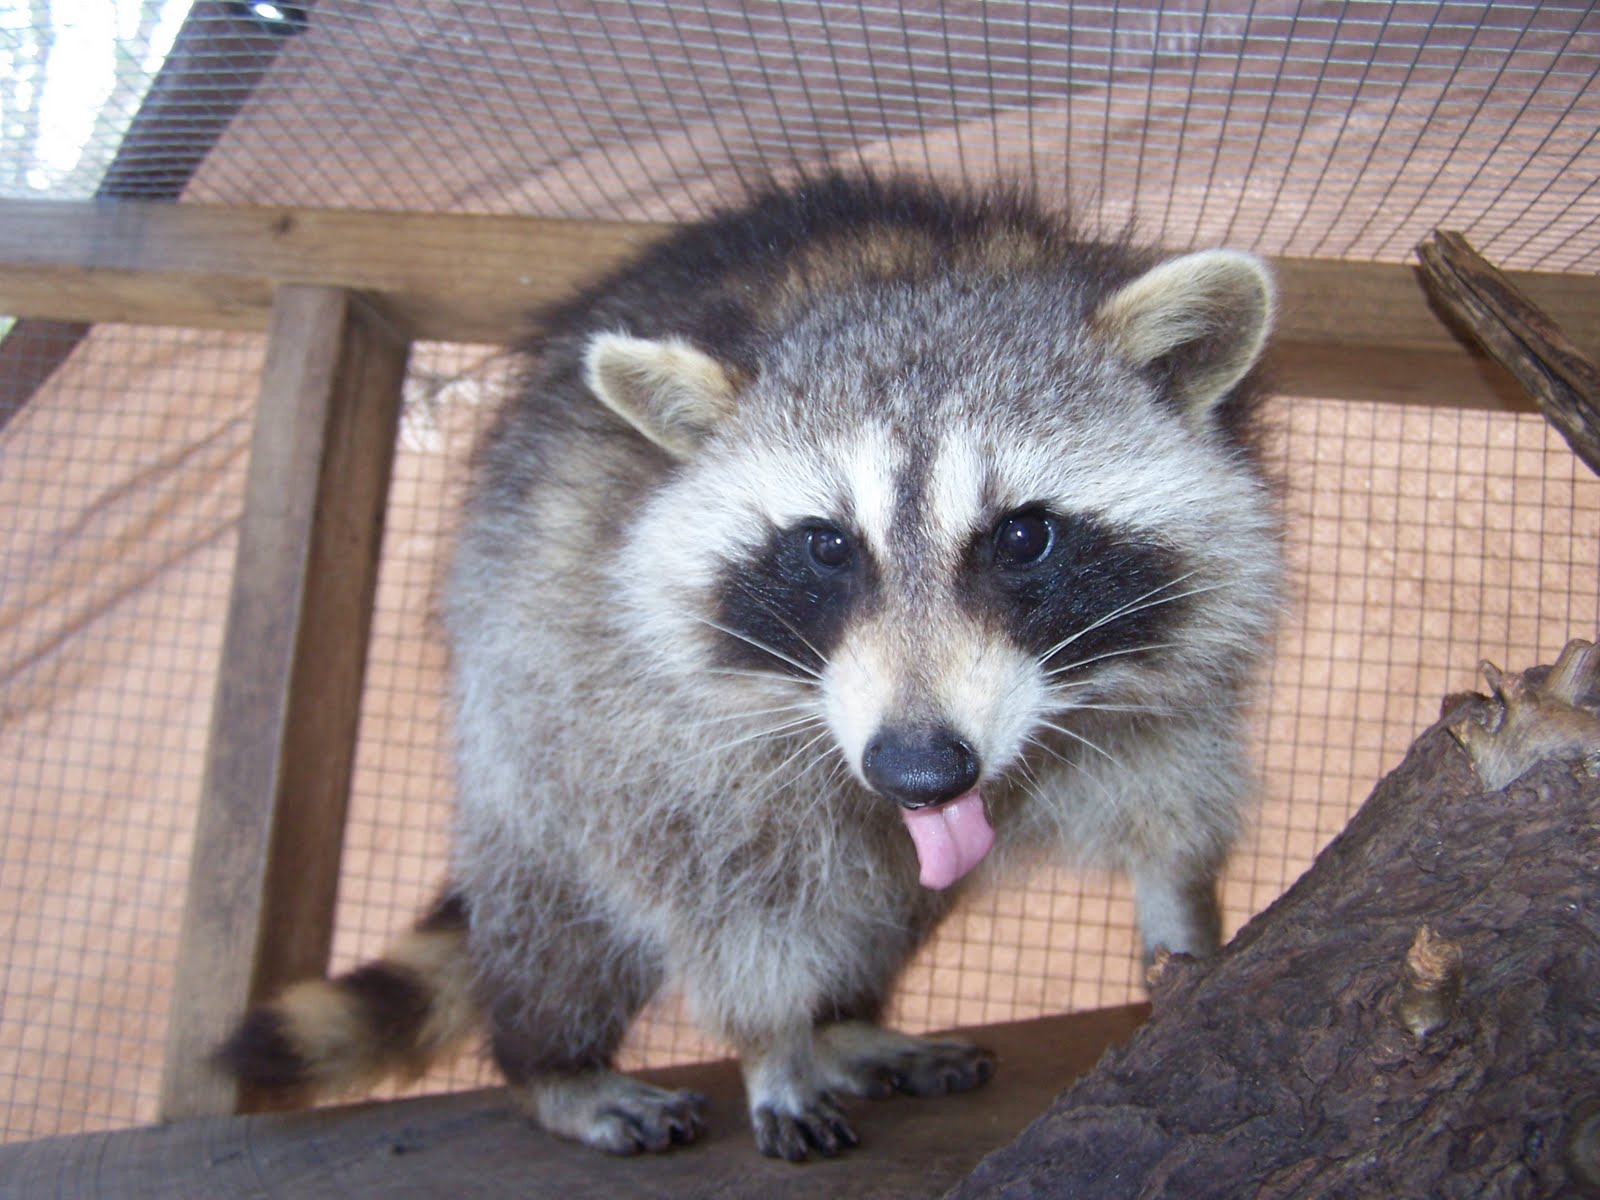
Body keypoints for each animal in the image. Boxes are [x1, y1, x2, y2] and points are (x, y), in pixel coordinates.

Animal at [220, 174, 1281, 1161]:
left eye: (1023, 536)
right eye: (825, 546)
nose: (920, 772)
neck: (913, 282)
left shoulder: (1166, 670)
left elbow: (1168, 803)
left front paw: (1187, 932)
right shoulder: (655, 718)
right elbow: (730, 897)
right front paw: (771, 1046)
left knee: (883, 896)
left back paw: (845, 1021)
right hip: (529, 686)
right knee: (561, 914)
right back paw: (559, 1064)